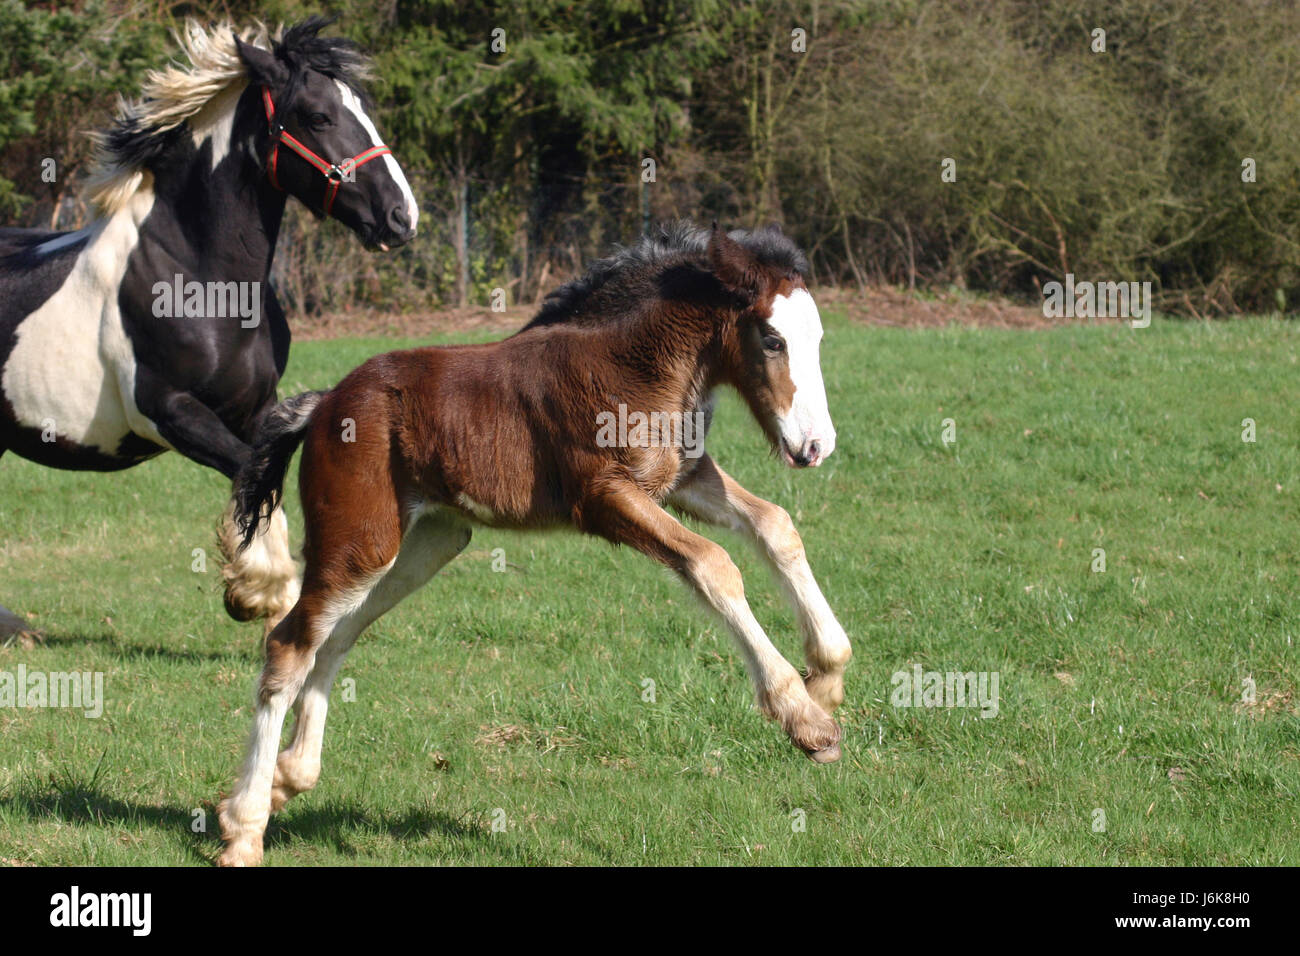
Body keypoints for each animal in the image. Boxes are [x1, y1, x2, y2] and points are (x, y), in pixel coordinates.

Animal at [0, 17, 417, 635]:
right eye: (319, 116)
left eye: (362, 106)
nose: (402, 216)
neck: (198, 279)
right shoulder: (166, 411)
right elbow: (253, 476)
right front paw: (259, 590)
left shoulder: (256, 408)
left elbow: (261, 476)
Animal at [215, 221, 853, 867]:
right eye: (771, 339)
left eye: (820, 337)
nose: (816, 445)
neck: (631, 364)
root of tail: (323, 404)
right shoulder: (605, 498)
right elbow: (713, 563)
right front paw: (805, 719)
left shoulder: (681, 479)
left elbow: (775, 525)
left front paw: (827, 675)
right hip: (359, 542)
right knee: (289, 642)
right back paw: (243, 828)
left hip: (426, 544)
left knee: (337, 636)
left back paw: (289, 777)